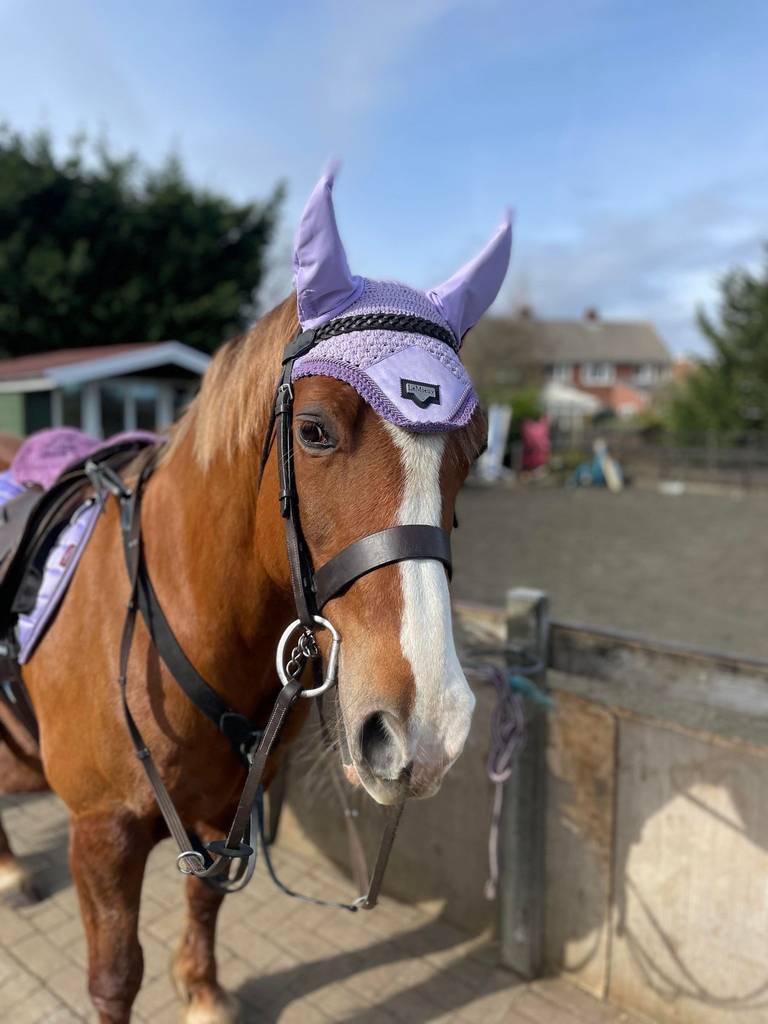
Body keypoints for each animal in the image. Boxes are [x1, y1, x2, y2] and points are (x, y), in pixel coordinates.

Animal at [0, 169, 512, 1023]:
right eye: (313, 430)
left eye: (472, 451)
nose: (425, 726)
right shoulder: (101, 836)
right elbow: (115, 976)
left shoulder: (227, 810)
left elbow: (205, 904)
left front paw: (203, 991)